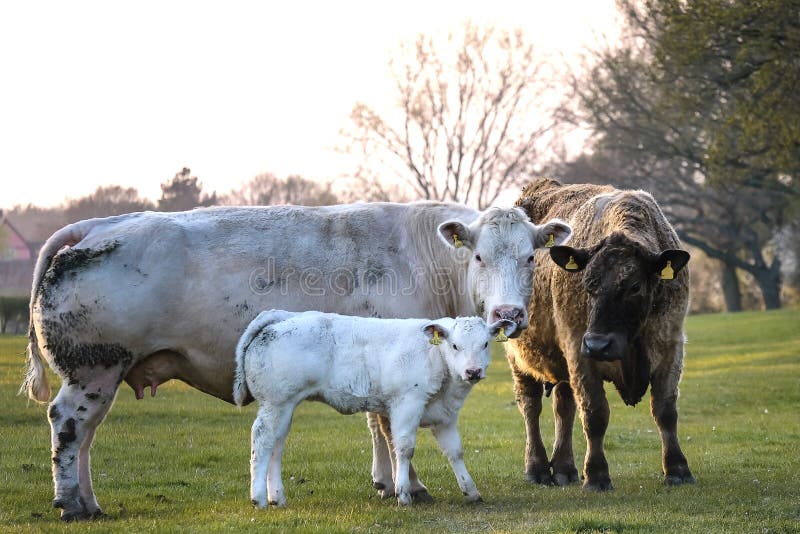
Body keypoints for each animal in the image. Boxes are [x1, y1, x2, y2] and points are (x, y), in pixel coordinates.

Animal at [234, 310, 516, 507]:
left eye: (485, 344)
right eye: (455, 345)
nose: (473, 371)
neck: (434, 357)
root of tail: (282, 317)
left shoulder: (444, 416)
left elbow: (455, 452)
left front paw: (471, 491)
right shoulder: (406, 404)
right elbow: (404, 448)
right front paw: (403, 494)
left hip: (284, 407)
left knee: (276, 444)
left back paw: (277, 497)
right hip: (276, 403)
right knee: (262, 440)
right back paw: (259, 498)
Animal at [504, 178, 694, 491]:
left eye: (634, 286)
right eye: (587, 284)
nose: (598, 345)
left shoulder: (671, 346)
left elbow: (665, 411)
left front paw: (678, 468)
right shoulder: (579, 352)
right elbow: (595, 413)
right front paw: (596, 474)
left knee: (563, 407)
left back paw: (564, 468)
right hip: (519, 356)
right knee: (530, 406)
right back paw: (538, 468)